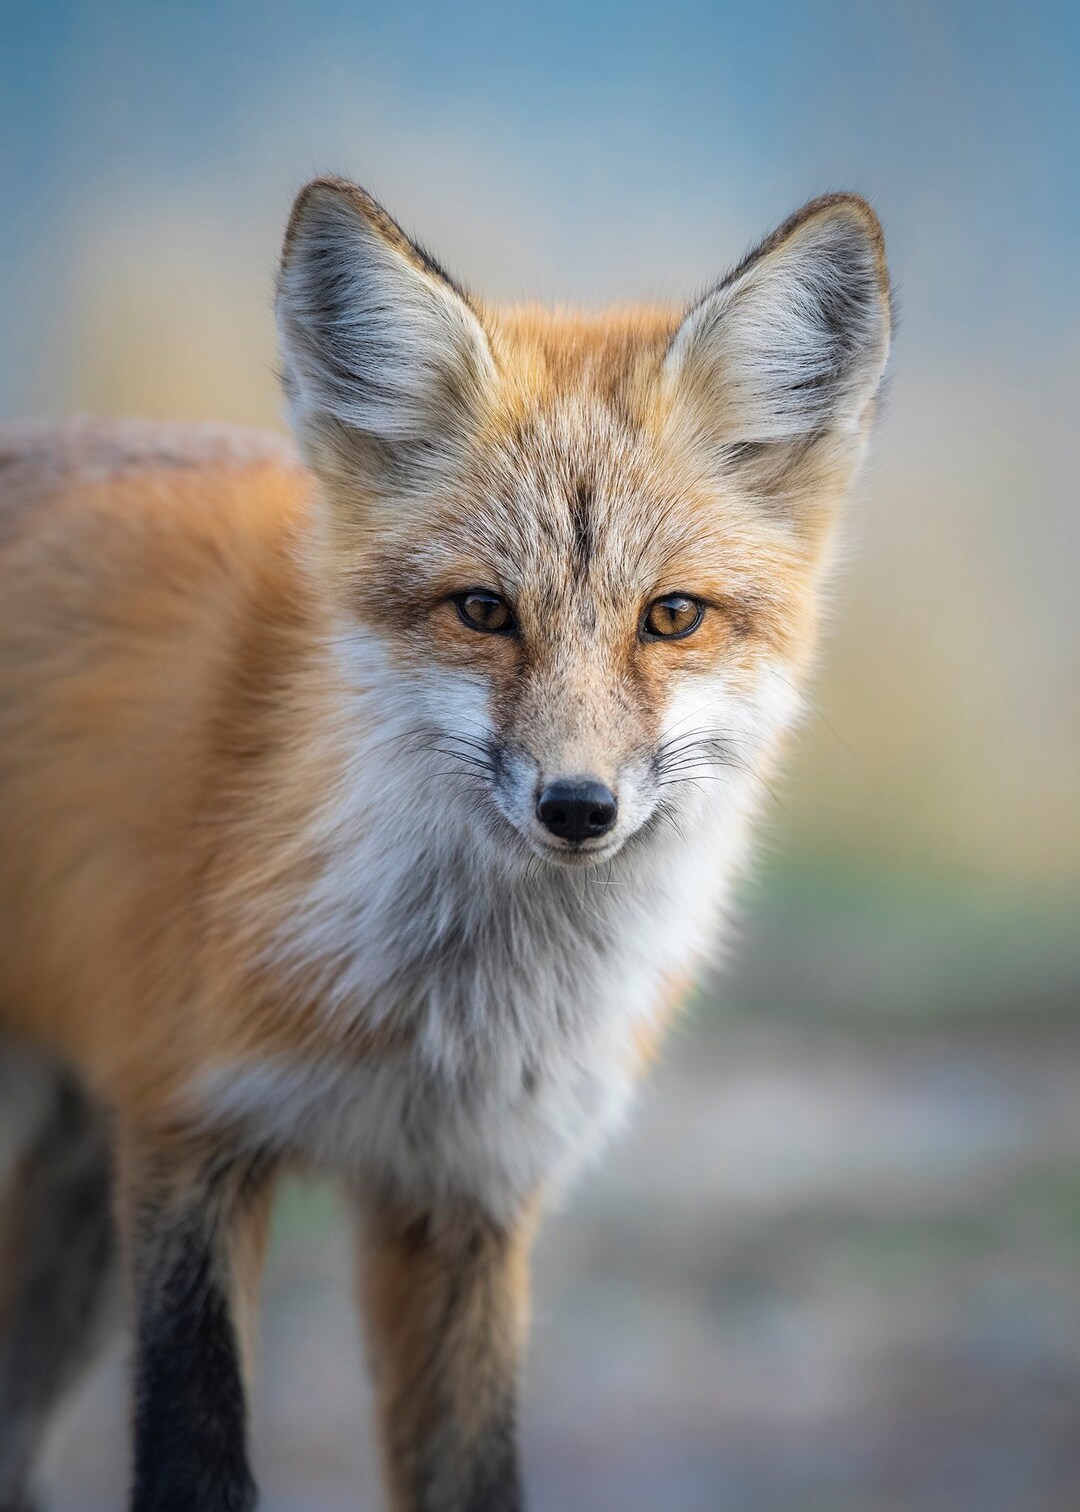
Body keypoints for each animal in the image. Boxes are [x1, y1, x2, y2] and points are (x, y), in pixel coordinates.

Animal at [0, 177, 890, 1512]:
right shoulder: (184, 1134)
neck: (440, 1016)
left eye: (671, 617)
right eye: (483, 610)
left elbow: (474, 1472)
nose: (578, 806)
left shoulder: (466, 1194)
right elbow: (197, 1464)